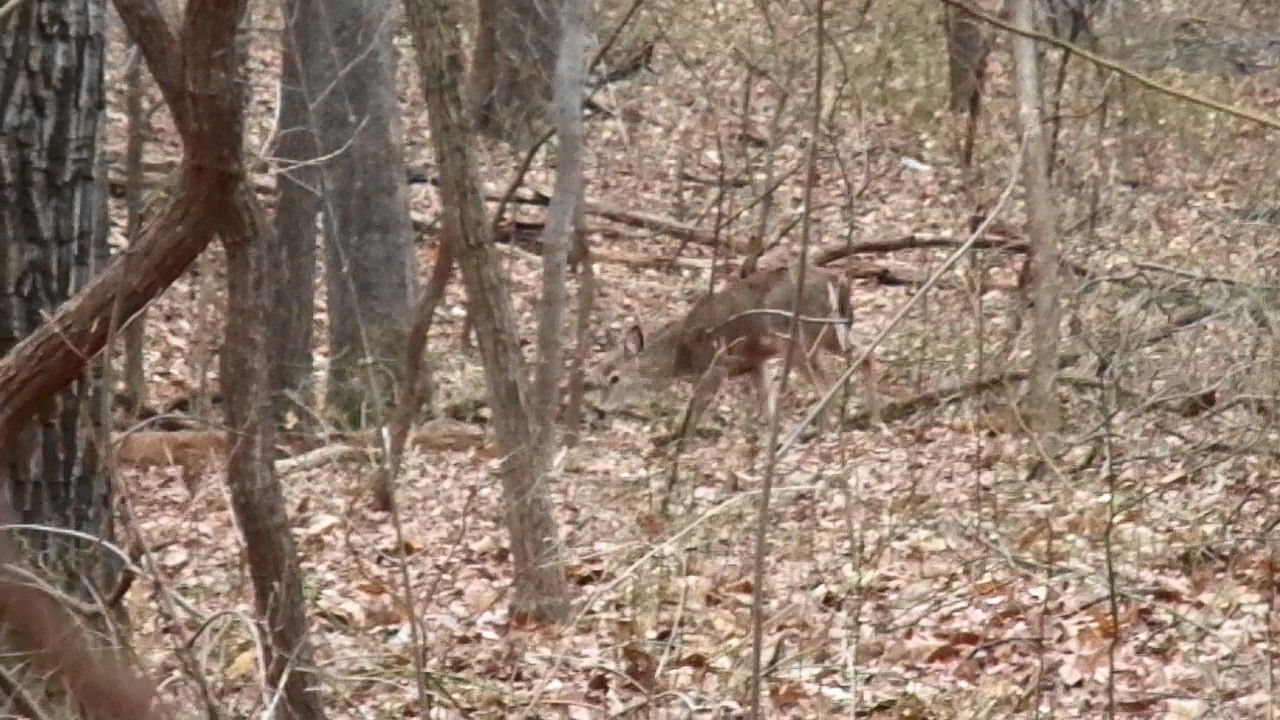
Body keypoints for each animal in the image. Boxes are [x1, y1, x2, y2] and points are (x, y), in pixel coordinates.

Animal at [595, 263, 881, 437]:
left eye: (614, 378)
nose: (599, 410)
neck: (681, 354)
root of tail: (837, 280)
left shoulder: (717, 363)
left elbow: (696, 409)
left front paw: (681, 440)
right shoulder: (755, 362)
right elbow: (767, 403)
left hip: (796, 336)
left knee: (826, 382)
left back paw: (823, 429)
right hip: (833, 331)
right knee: (864, 356)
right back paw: (872, 417)